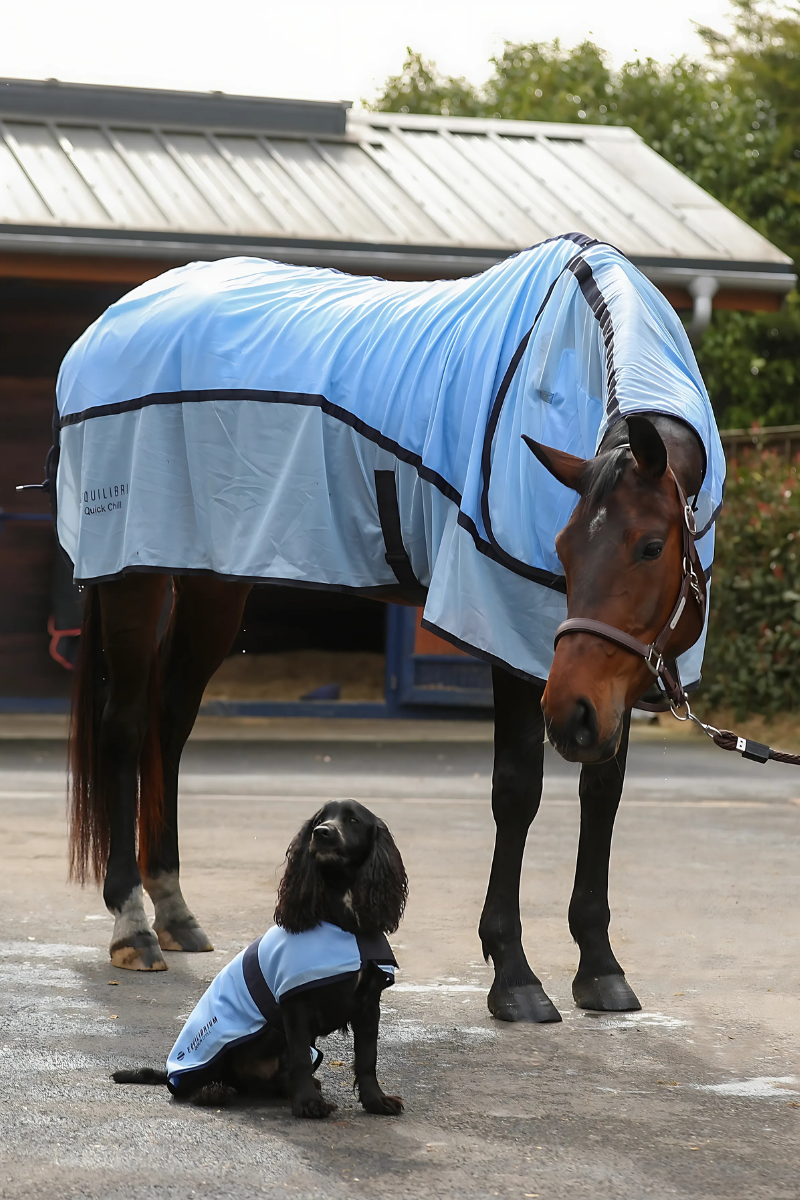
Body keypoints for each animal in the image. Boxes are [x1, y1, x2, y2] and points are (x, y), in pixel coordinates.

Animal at [55, 236, 723, 1019]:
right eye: (561, 548)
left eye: (650, 546)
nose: (571, 716)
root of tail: (106, 327)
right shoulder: (501, 628)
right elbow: (517, 790)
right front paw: (514, 976)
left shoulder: (618, 670)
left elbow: (602, 793)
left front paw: (600, 968)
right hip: (131, 575)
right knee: (125, 726)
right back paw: (133, 924)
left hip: (210, 582)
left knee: (169, 722)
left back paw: (175, 910)